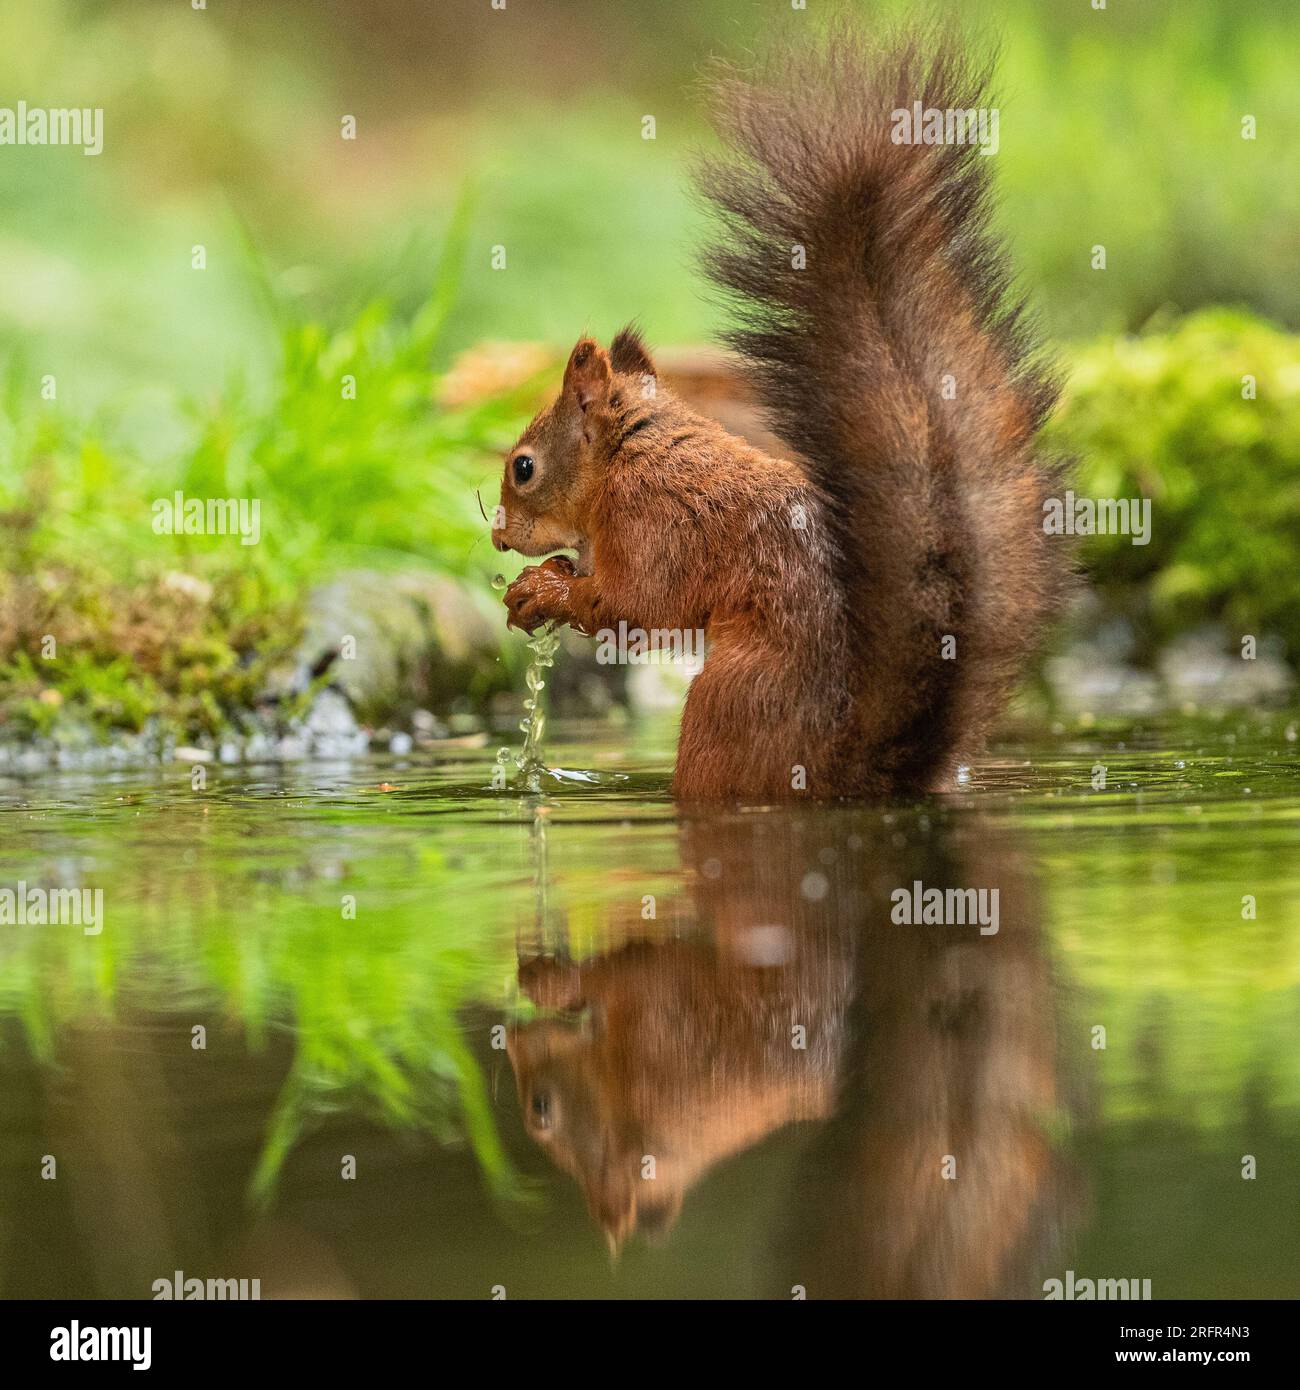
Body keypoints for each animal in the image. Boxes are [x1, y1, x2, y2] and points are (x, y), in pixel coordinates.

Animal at [493, 22, 1071, 800]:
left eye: (523, 468)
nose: (497, 535)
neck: (630, 455)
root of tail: (854, 767)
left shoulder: (654, 524)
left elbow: (637, 607)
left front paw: (545, 591)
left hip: (725, 704)